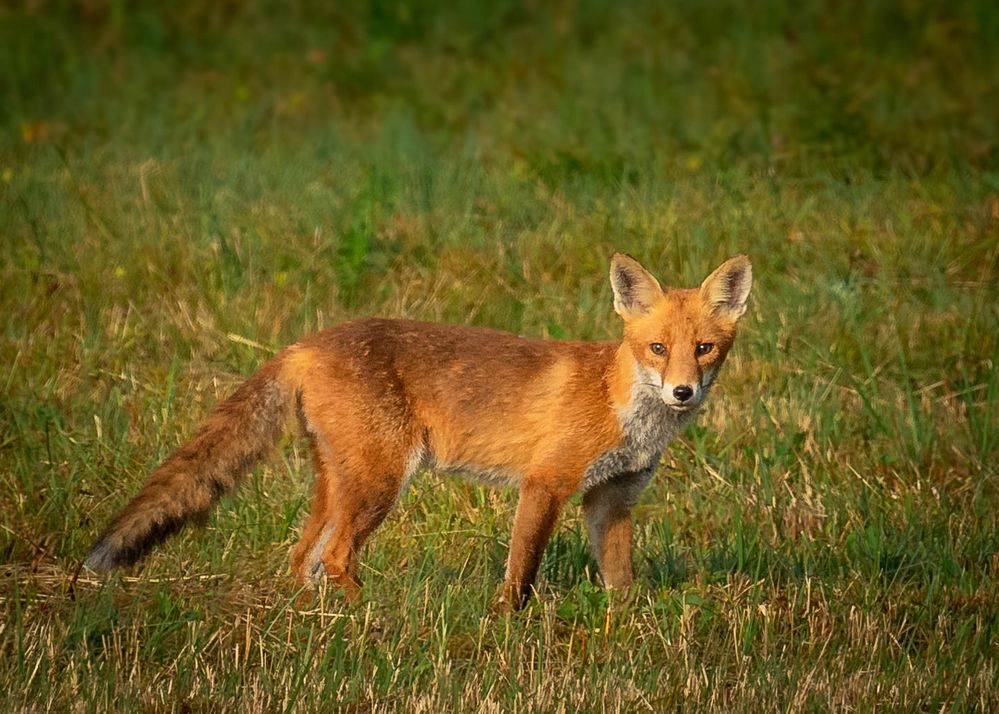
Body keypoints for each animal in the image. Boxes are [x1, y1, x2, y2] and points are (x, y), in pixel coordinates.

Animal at [85, 253, 752, 609]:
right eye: (657, 348)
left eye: (704, 349)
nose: (683, 392)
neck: (623, 407)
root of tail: (306, 342)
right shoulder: (545, 485)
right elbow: (521, 573)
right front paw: (508, 625)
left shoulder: (610, 500)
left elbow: (621, 581)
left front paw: (624, 627)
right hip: (380, 482)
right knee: (334, 555)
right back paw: (368, 617)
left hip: (341, 480)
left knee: (303, 555)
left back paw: (314, 618)